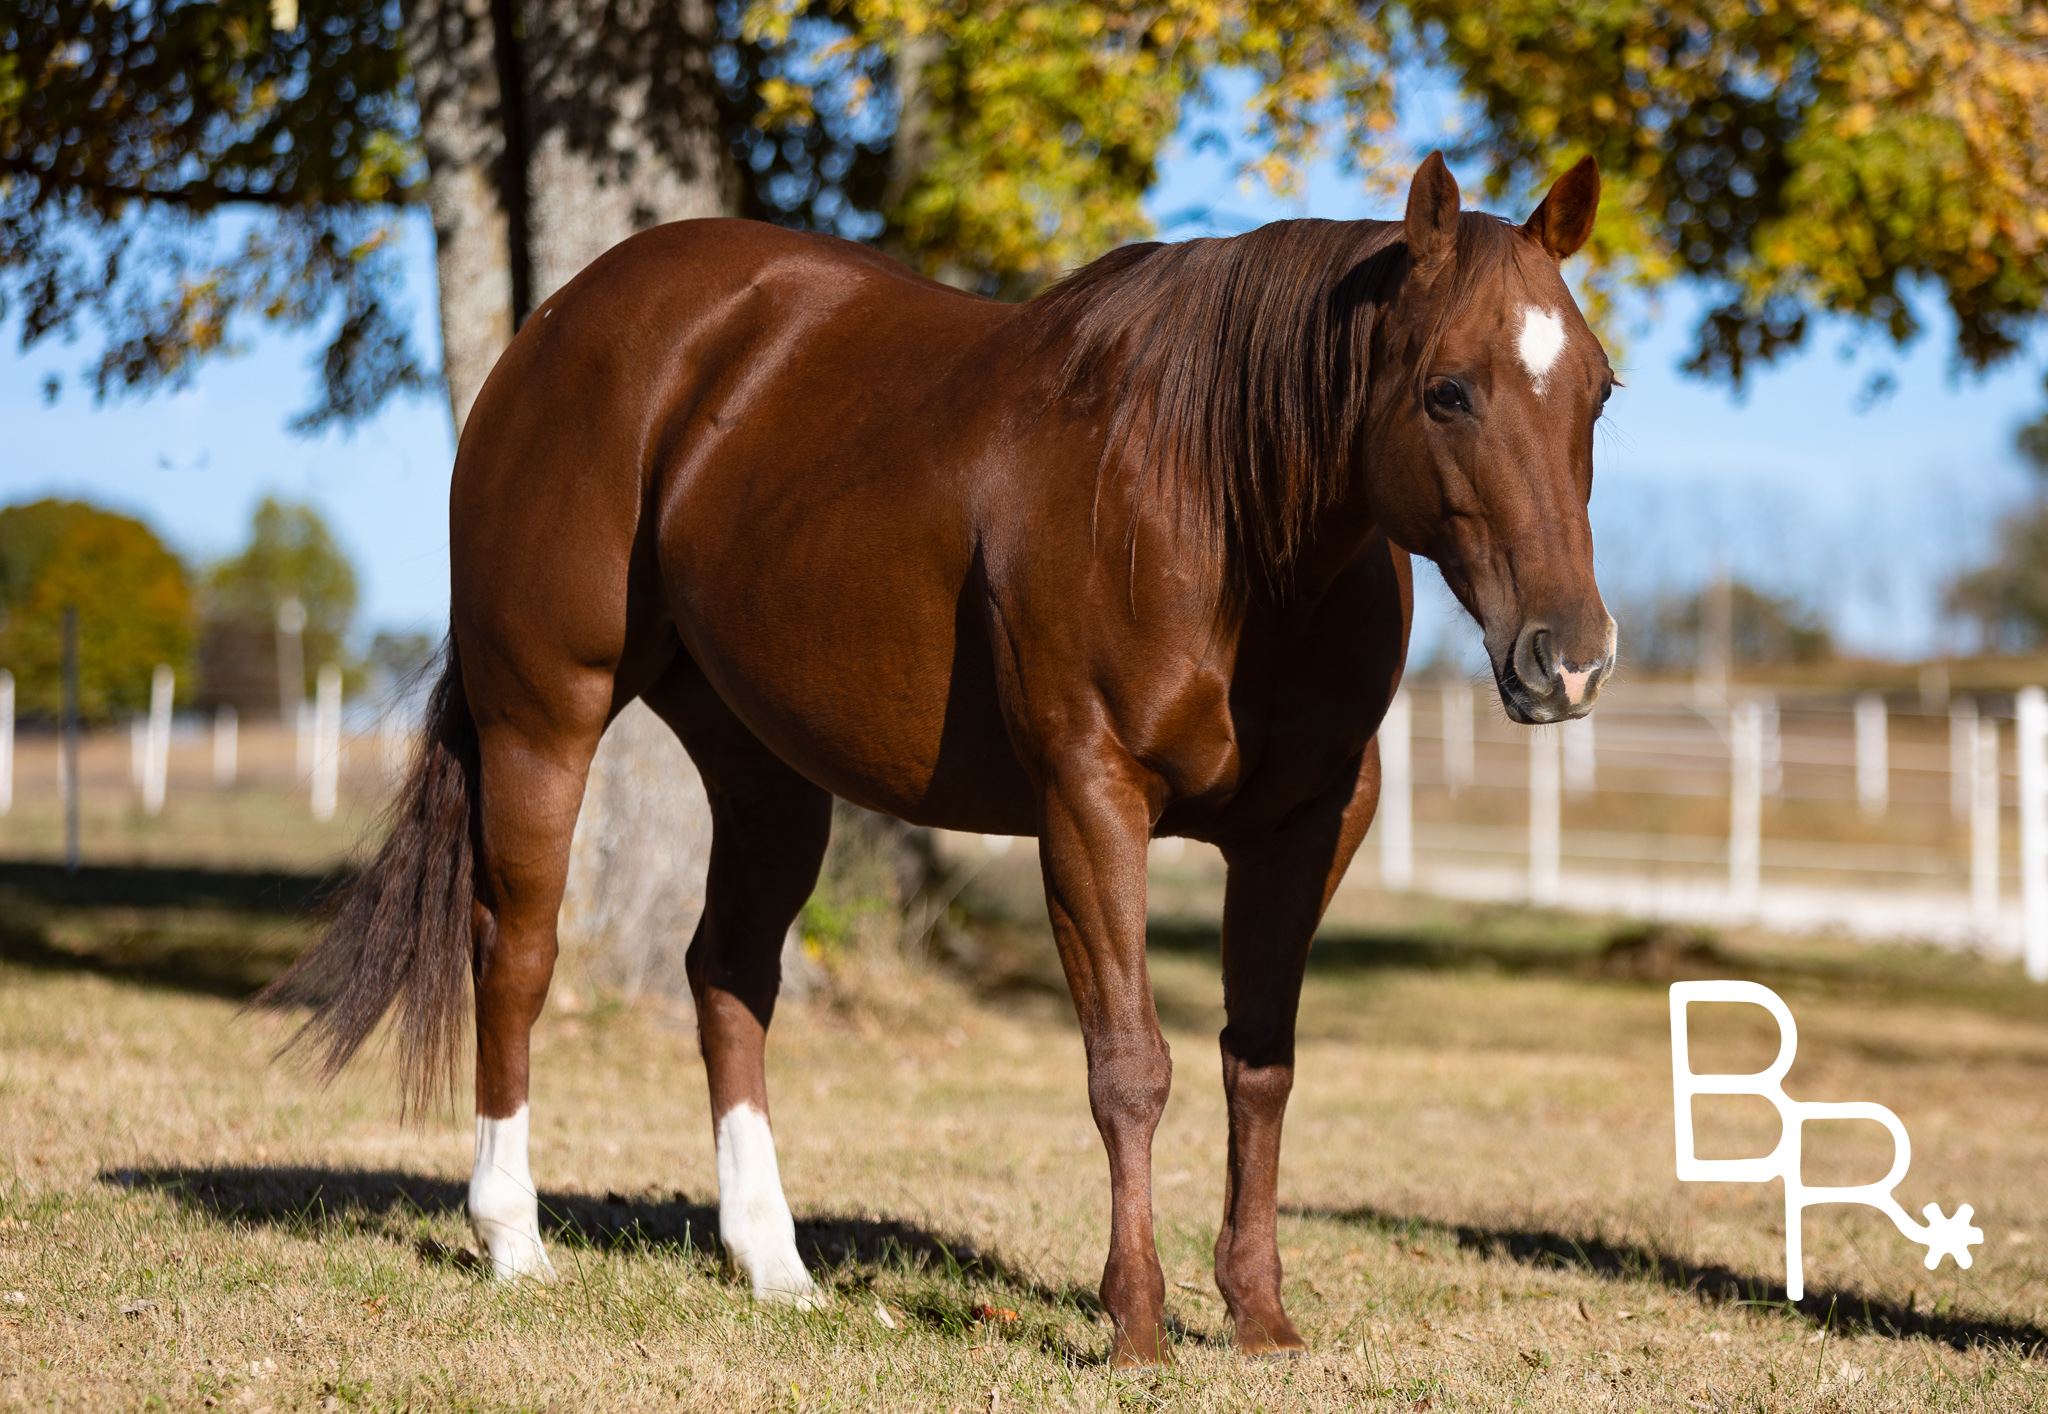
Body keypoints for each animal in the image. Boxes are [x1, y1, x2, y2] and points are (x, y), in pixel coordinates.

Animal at [261, 150, 1616, 1366]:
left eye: (1597, 391)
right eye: (1447, 390)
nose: (1569, 655)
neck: (1213, 506)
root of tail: (558, 323)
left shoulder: (1306, 826)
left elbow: (1260, 1064)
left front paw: (1259, 1317)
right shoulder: (1088, 800)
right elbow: (1130, 1065)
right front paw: (1135, 1327)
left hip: (764, 768)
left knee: (726, 974)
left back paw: (773, 1263)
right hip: (542, 715)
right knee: (519, 951)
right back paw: (512, 1237)